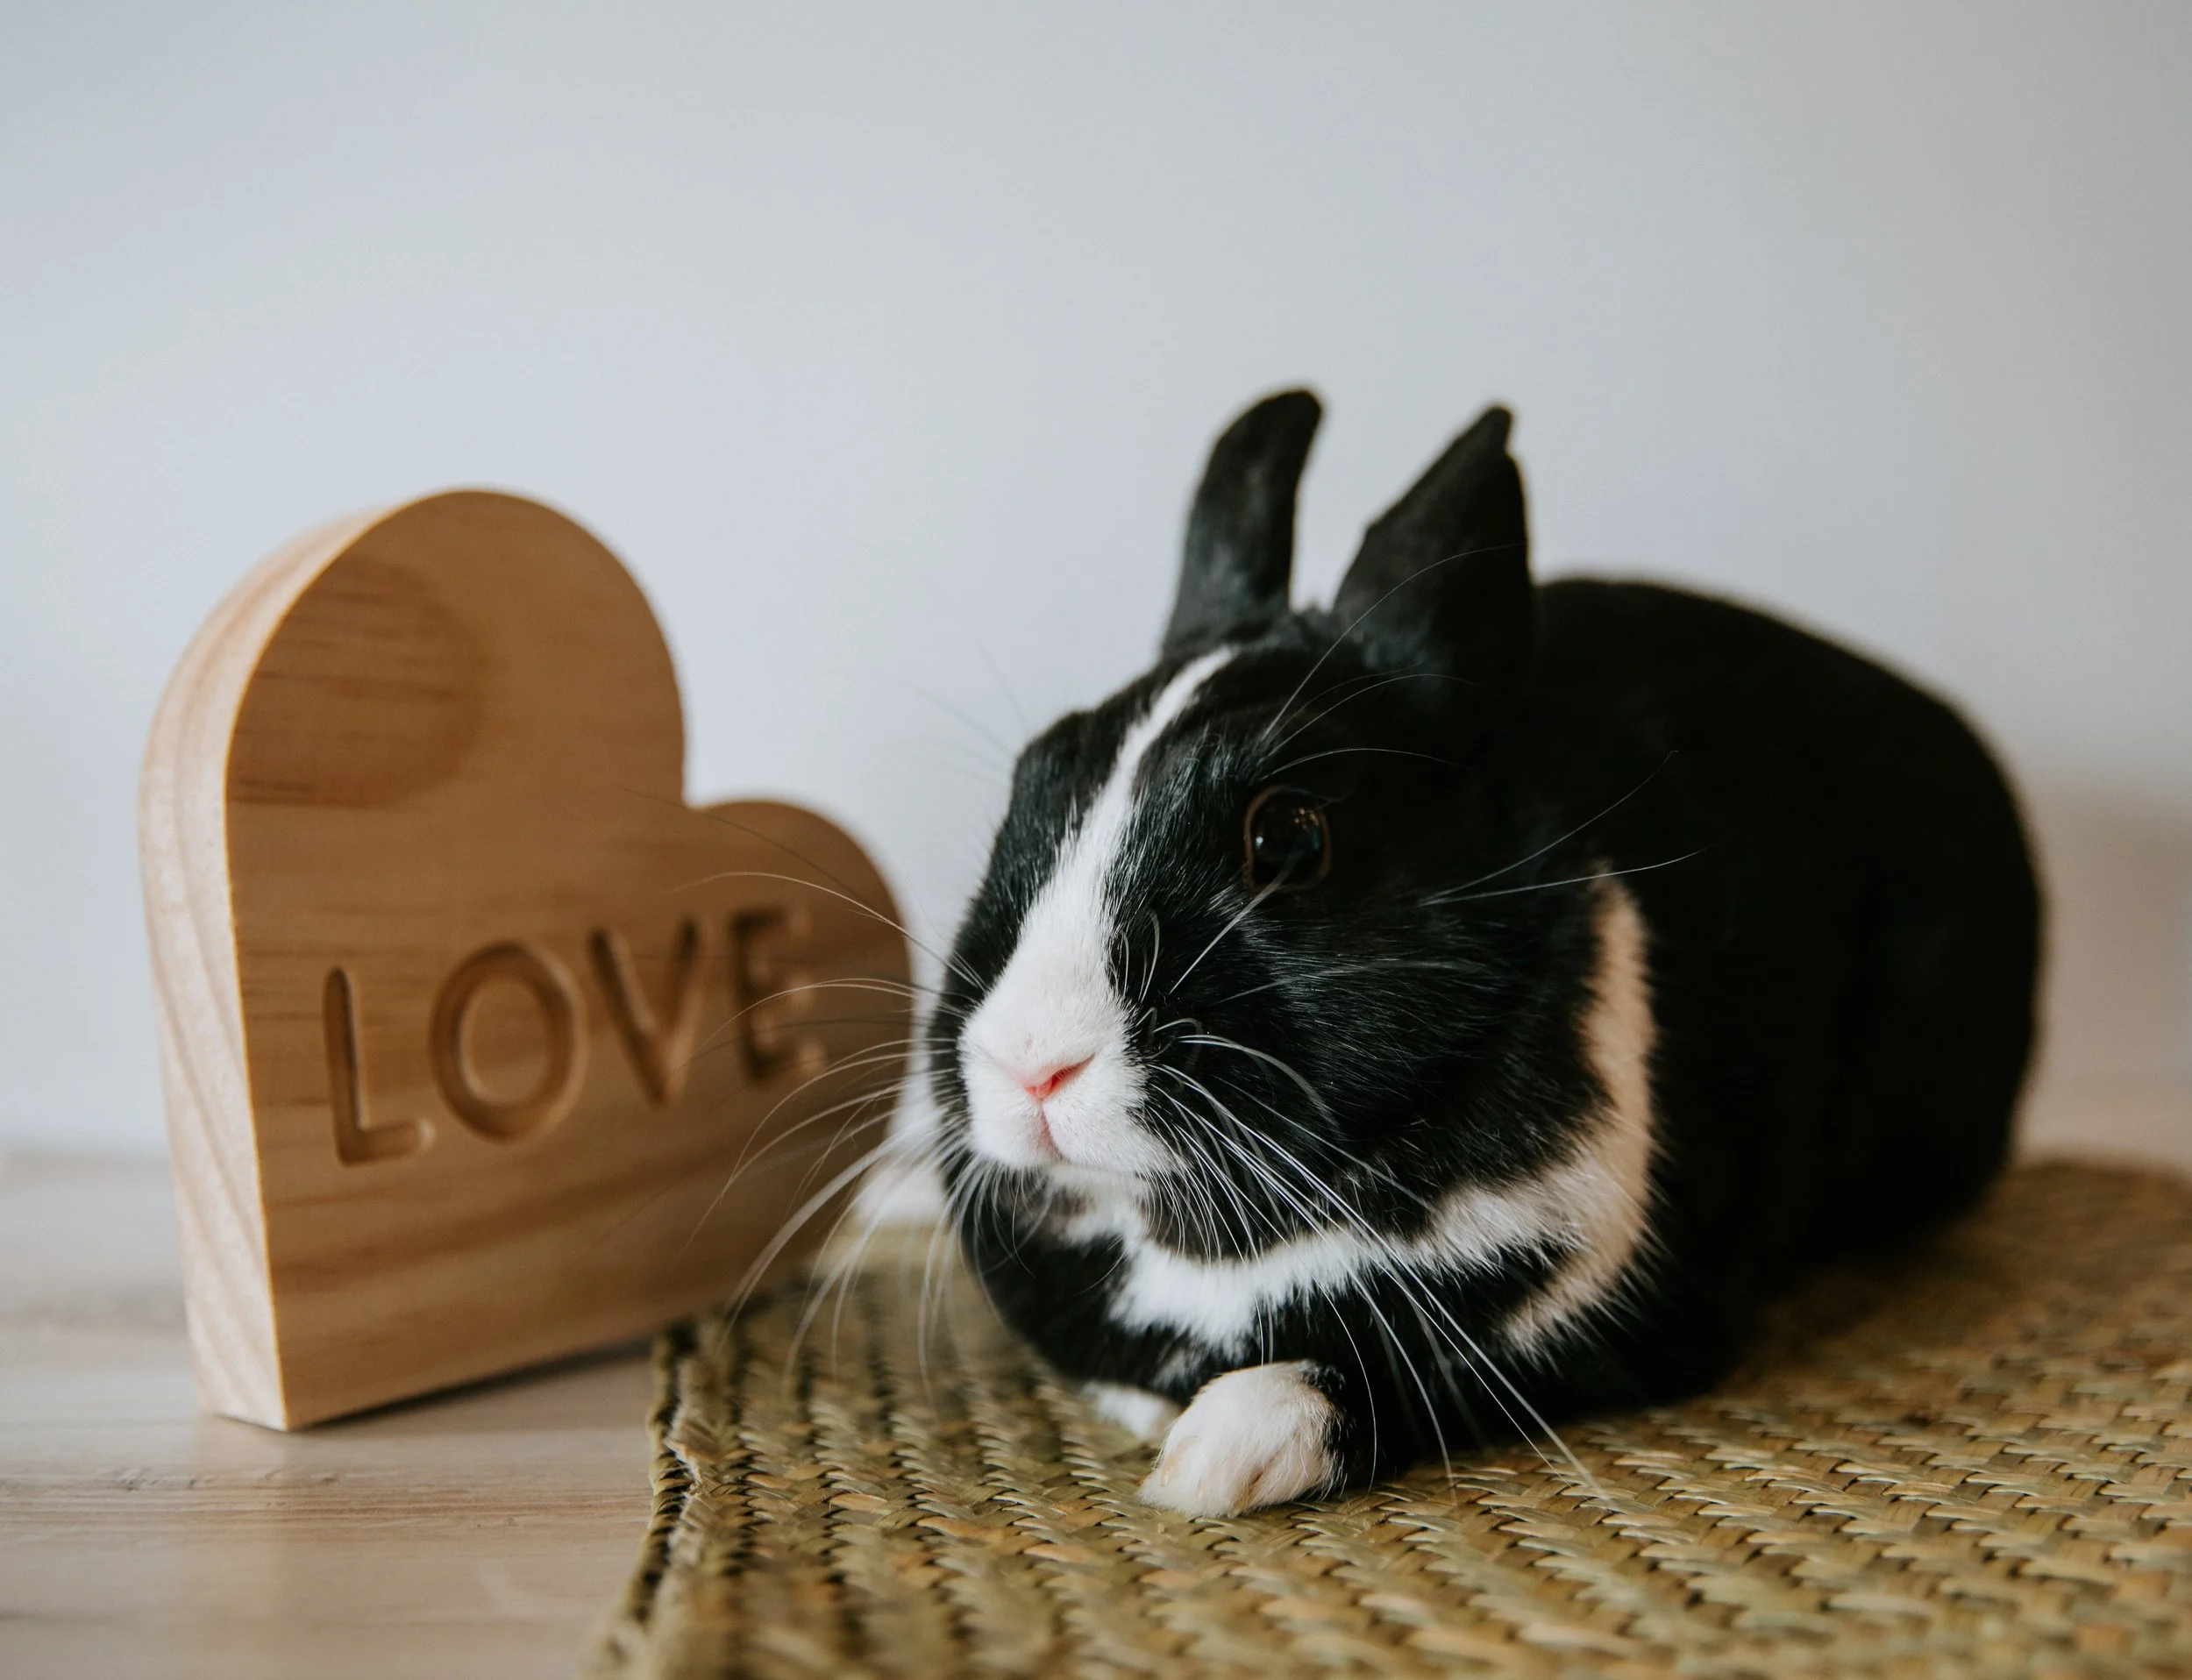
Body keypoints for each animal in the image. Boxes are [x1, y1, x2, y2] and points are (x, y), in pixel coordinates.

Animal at [927, 389, 2038, 1516]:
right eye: (1030, 785)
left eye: (1287, 837)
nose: (1030, 1063)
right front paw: (1167, 1426)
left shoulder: (1600, 1328)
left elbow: (1402, 1379)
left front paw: (1211, 1461)